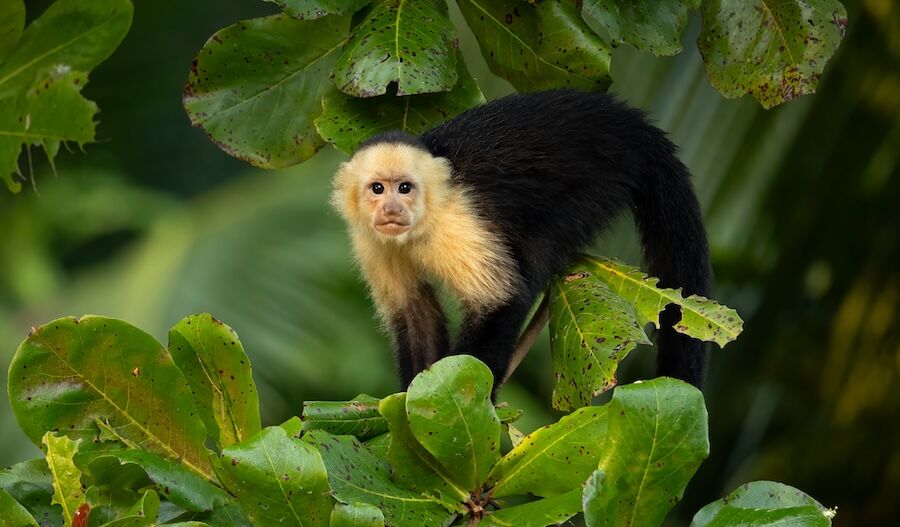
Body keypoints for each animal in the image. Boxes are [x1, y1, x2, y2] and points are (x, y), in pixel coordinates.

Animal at [331, 89, 710, 393]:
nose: (392, 209)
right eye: (378, 189)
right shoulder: (371, 242)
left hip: (600, 180)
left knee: (535, 252)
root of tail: (627, 122)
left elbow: (502, 299)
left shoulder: (456, 221)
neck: (422, 226)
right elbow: (415, 315)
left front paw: (467, 392)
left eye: (405, 188)